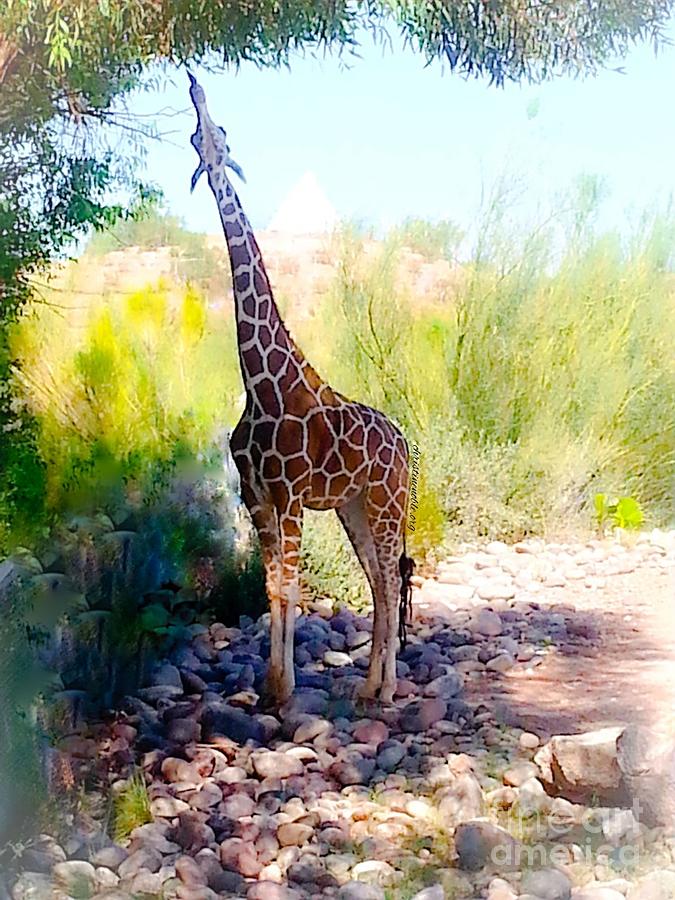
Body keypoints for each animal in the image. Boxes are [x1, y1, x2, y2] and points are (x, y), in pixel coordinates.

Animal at [187, 74, 412, 705]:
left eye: (219, 133)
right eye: (196, 136)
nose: (194, 86)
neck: (261, 382)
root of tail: (407, 444)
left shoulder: (289, 496)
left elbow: (288, 586)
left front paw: (284, 690)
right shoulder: (257, 495)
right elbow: (271, 587)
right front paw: (270, 686)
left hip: (387, 502)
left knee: (390, 578)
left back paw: (387, 688)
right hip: (354, 506)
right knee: (378, 581)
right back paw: (369, 686)